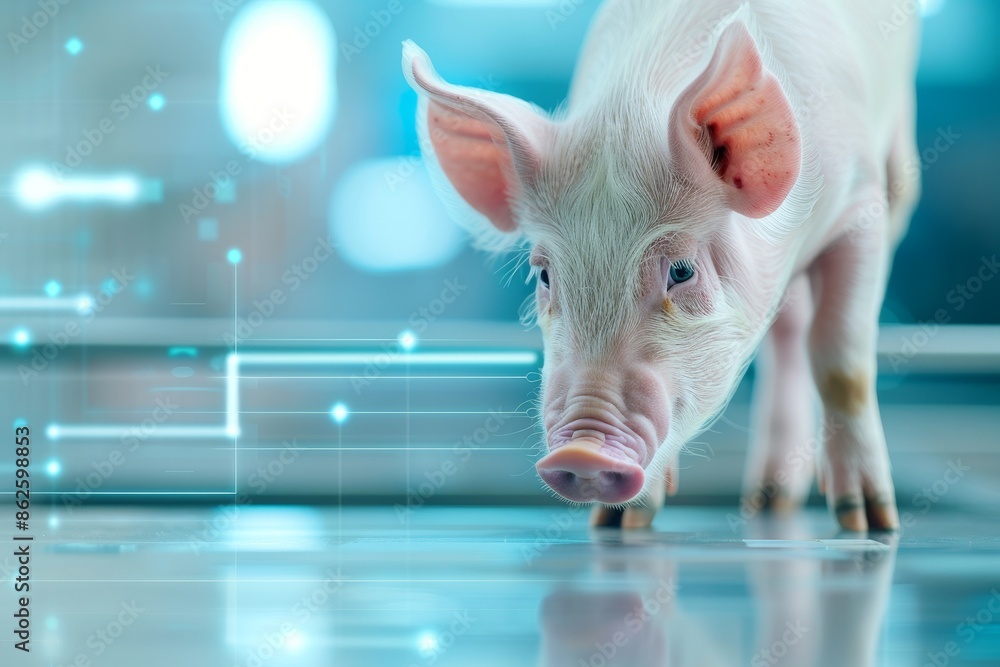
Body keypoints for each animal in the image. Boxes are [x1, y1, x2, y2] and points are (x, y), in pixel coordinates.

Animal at [402, 0, 920, 531]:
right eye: (544, 275)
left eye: (682, 271)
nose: (581, 453)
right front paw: (618, 524)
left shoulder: (859, 208)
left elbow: (841, 361)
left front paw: (870, 521)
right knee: (788, 331)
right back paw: (767, 501)